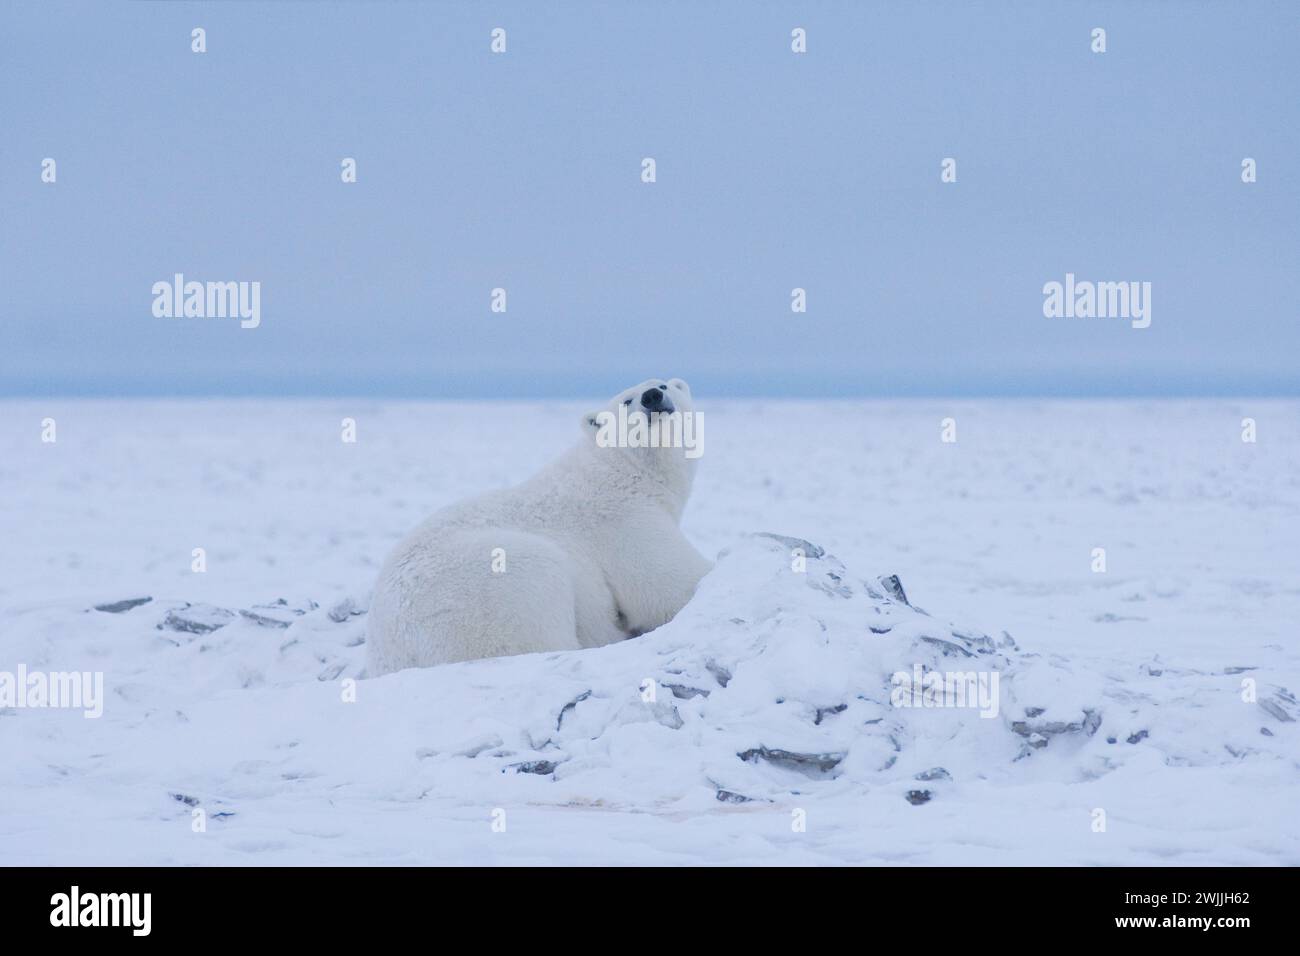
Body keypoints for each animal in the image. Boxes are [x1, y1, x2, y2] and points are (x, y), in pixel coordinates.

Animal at [366, 378, 712, 674]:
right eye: (626, 401)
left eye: (664, 385)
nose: (652, 396)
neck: (625, 471)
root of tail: (389, 657)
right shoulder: (621, 518)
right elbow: (667, 583)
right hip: (485, 590)